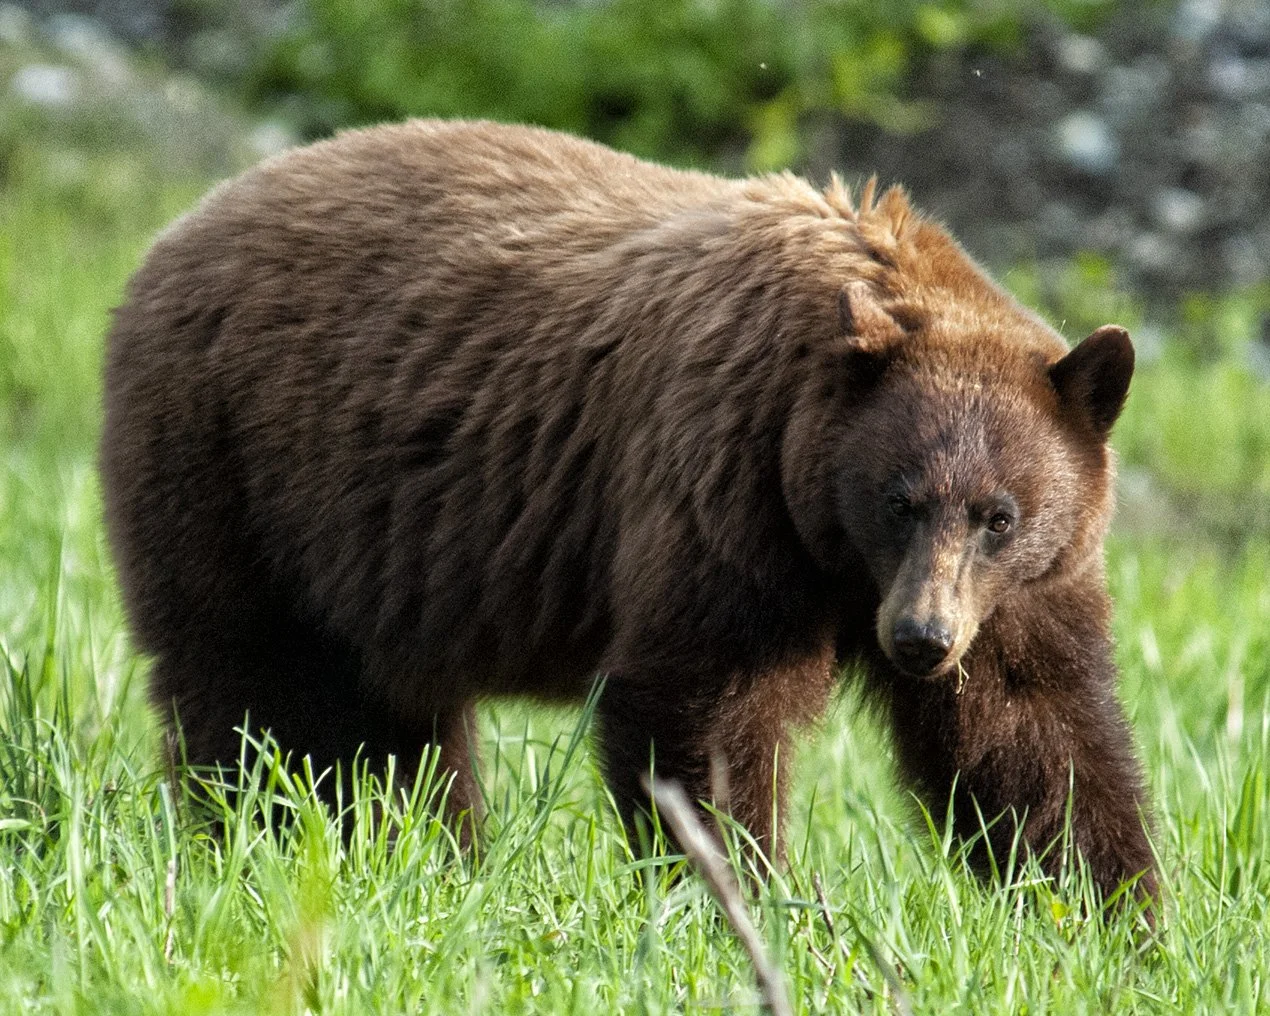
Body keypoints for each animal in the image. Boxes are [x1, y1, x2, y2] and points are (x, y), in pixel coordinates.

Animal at [101, 119, 1157, 904]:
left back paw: (425, 856)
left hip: (372, 554)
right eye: (898, 500)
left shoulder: (1016, 594)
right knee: (253, 683)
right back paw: (255, 836)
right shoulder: (724, 488)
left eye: (1000, 516)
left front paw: (1113, 915)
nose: (921, 638)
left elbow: (1035, 734)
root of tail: (174, 233)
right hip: (235, 467)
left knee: (398, 725)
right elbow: (702, 705)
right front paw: (741, 892)